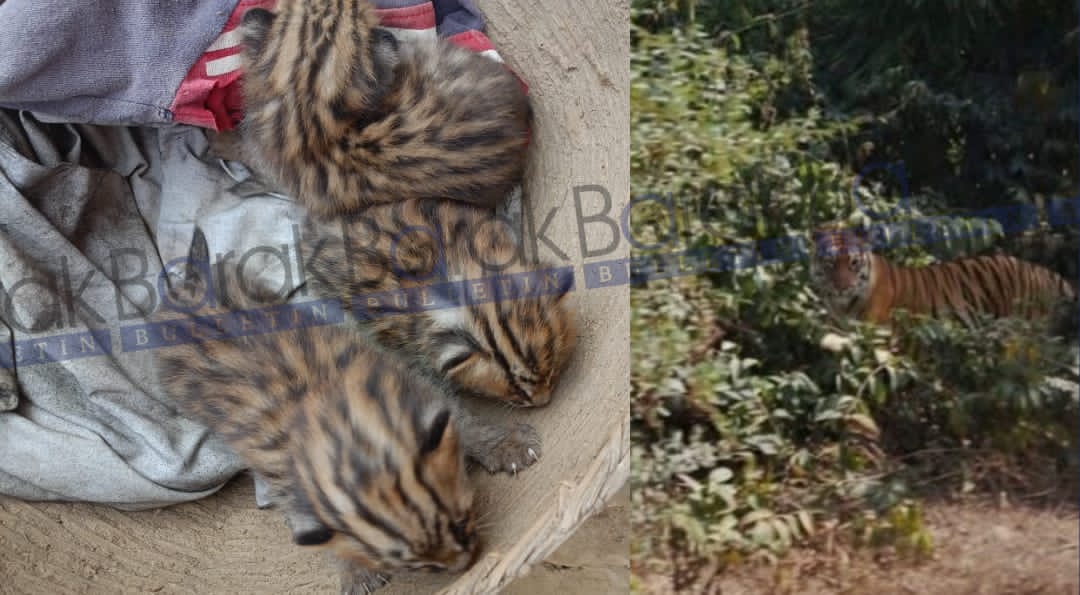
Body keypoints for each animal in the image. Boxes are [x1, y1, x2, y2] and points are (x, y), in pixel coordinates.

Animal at [155, 227, 543, 593]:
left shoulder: (410, 377)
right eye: (420, 566)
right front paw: (354, 571)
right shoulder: (284, 476)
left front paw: (504, 446)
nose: (465, 565)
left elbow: (462, 420)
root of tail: (188, 292)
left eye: (461, 522)